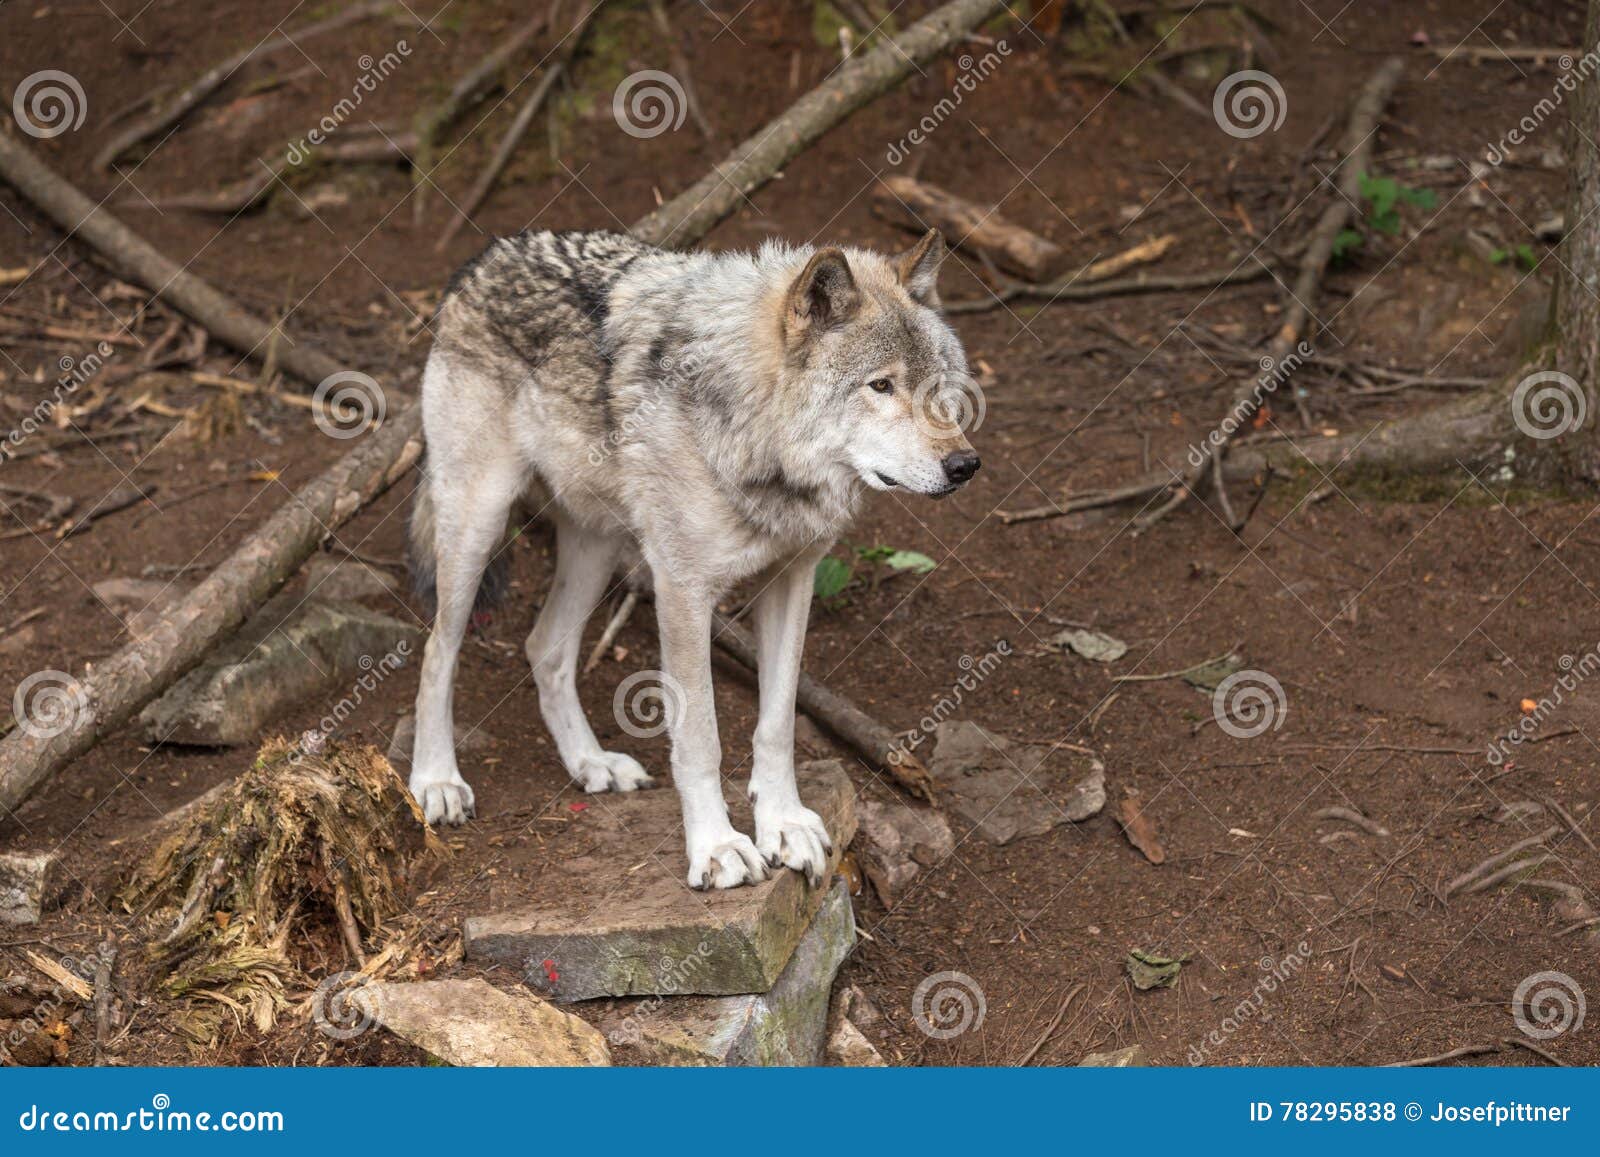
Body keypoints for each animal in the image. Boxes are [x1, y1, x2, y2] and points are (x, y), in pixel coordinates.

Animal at [406, 226, 981, 889]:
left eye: (939, 386)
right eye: (880, 386)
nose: (965, 465)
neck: (756, 439)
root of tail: (487, 255)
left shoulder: (793, 578)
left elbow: (777, 723)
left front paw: (783, 824)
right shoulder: (683, 590)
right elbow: (701, 737)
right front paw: (718, 847)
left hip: (596, 544)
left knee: (544, 647)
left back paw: (591, 762)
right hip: (478, 523)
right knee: (437, 652)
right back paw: (436, 781)